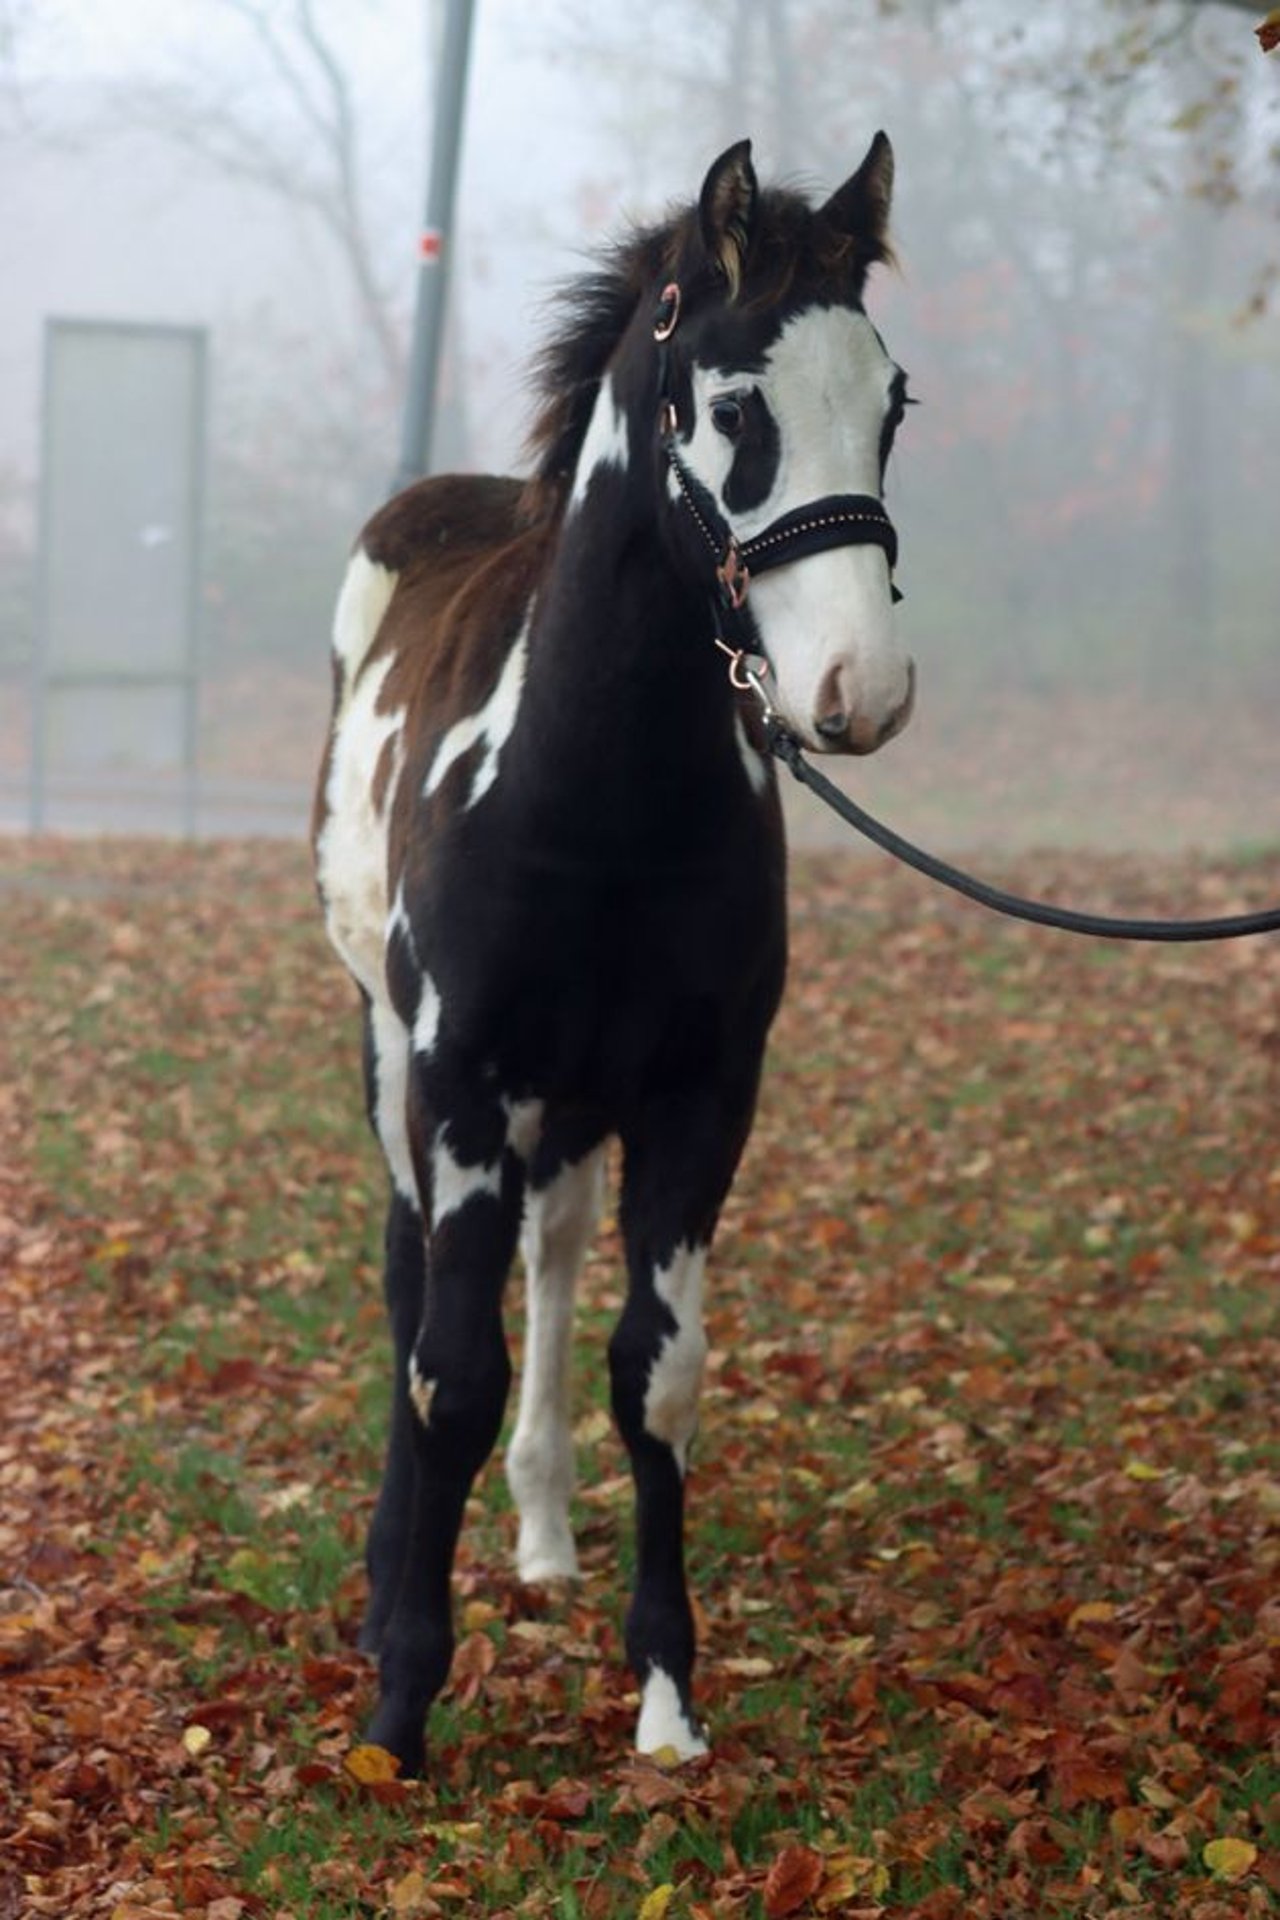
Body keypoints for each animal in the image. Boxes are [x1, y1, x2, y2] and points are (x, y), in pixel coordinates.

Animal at [312, 134, 915, 1777]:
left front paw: (664, 1694)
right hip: (395, 1062)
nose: (860, 691)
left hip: (572, 1108)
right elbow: (445, 1375)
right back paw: (399, 1576)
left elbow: (658, 1373)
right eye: (735, 406)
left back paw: (539, 1536)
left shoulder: (700, 1102)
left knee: (557, 1255)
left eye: (891, 400)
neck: (592, 796)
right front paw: (404, 1696)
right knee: (412, 1286)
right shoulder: (458, 1087)